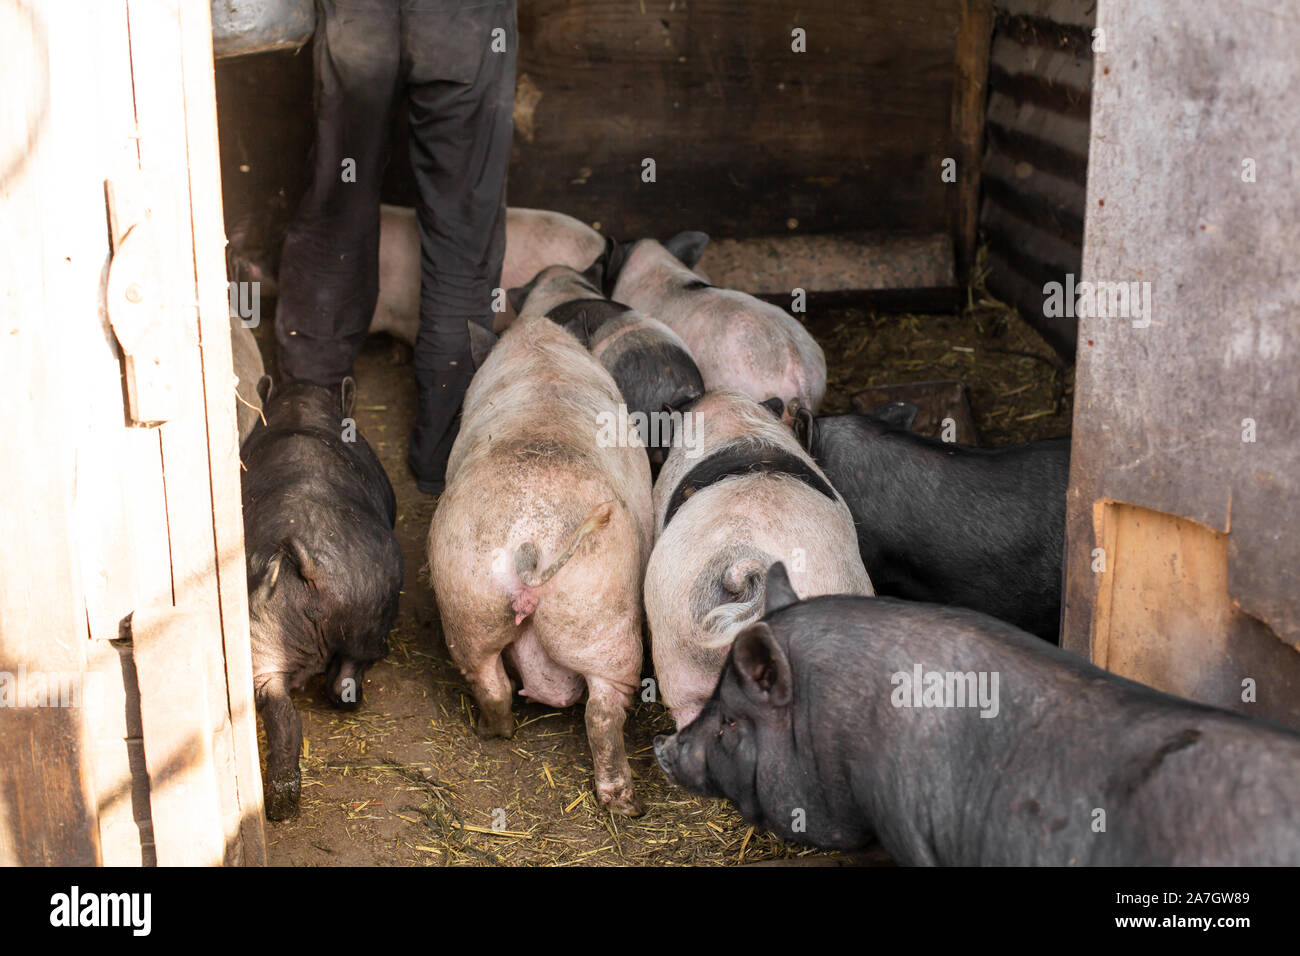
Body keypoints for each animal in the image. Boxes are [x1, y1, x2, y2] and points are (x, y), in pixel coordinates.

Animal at [241, 376, 404, 820]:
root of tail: (296, 548)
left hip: (260, 644)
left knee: (282, 716)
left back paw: (281, 805)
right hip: (369, 613)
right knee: (346, 678)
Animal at [427, 313, 654, 816]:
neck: (539, 348)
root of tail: (529, 542)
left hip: (466, 593)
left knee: (490, 681)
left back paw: (493, 732)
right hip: (602, 607)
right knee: (602, 711)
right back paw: (625, 805)